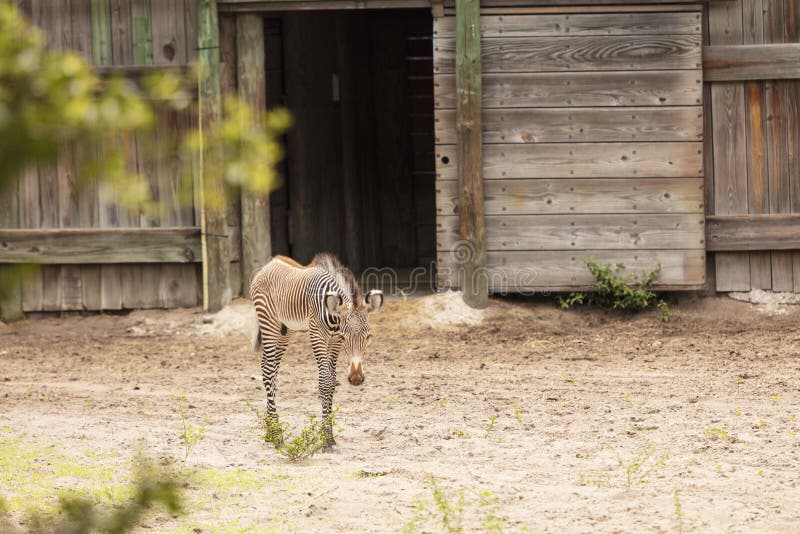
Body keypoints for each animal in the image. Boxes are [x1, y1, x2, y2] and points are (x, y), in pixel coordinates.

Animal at [250, 252, 383, 447]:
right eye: (345, 337)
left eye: (368, 337)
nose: (356, 378)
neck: (334, 317)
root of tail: (270, 263)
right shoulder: (317, 335)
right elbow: (325, 381)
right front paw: (326, 439)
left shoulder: (334, 341)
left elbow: (332, 381)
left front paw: (330, 435)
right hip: (269, 322)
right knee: (267, 369)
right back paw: (277, 436)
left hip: (285, 330)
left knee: (273, 369)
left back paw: (270, 432)